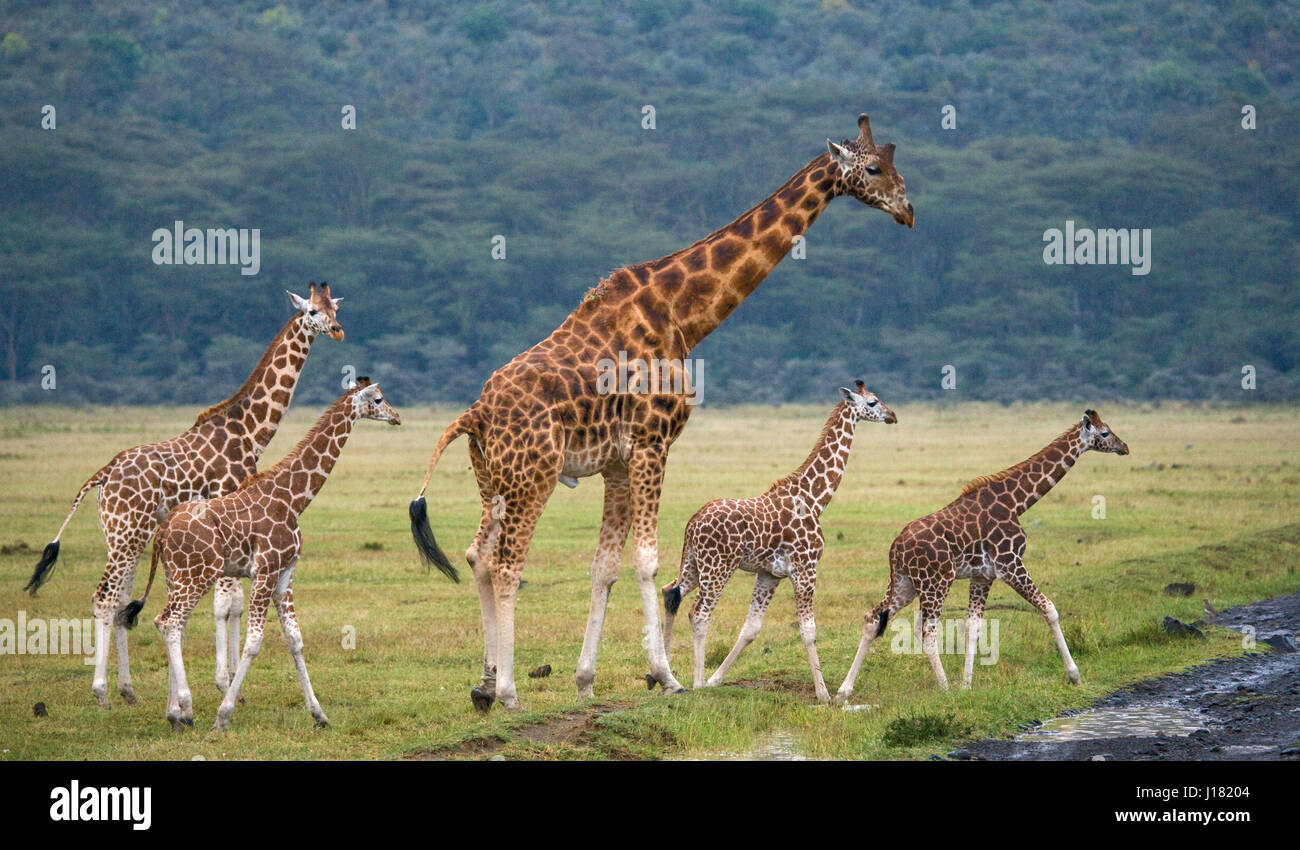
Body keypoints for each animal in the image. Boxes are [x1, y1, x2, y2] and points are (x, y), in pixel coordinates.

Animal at [24, 283, 344, 709]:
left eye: (334, 308)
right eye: (311, 311)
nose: (337, 331)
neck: (250, 432)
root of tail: (103, 476)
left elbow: (231, 604)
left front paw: (231, 688)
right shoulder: (229, 512)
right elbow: (226, 604)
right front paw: (226, 685)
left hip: (125, 534)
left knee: (121, 598)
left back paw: (128, 691)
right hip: (128, 533)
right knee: (105, 597)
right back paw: (102, 693)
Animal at [126, 379, 401, 731]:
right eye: (378, 399)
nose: (396, 417)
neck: (294, 499)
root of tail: (161, 533)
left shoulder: (286, 573)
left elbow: (294, 640)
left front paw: (319, 714)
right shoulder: (265, 571)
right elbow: (253, 642)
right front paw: (223, 715)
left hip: (175, 575)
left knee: (173, 623)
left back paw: (174, 713)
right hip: (198, 574)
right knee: (170, 622)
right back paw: (184, 709)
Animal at [659, 382, 896, 701]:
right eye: (873, 402)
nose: (892, 415)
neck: (814, 499)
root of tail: (692, 522)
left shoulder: (769, 574)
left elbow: (751, 628)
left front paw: (715, 679)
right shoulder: (805, 569)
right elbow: (808, 630)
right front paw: (824, 694)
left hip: (693, 564)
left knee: (671, 592)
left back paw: (665, 676)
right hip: (718, 567)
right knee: (699, 613)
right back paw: (694, 683)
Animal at [834, 409, 1130, 703]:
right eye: (1105, 433)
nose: (1124, 447)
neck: (1017, 502)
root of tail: (895, 548)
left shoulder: (983, 576)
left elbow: (972, 628)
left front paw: (967, 685)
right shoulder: (1010, 564)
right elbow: (1049, 608)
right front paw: (1074, 675)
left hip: (905, 584)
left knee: (873, 618)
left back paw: (843, 692)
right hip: (936, 582)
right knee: (926, 631)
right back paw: (944, 688)